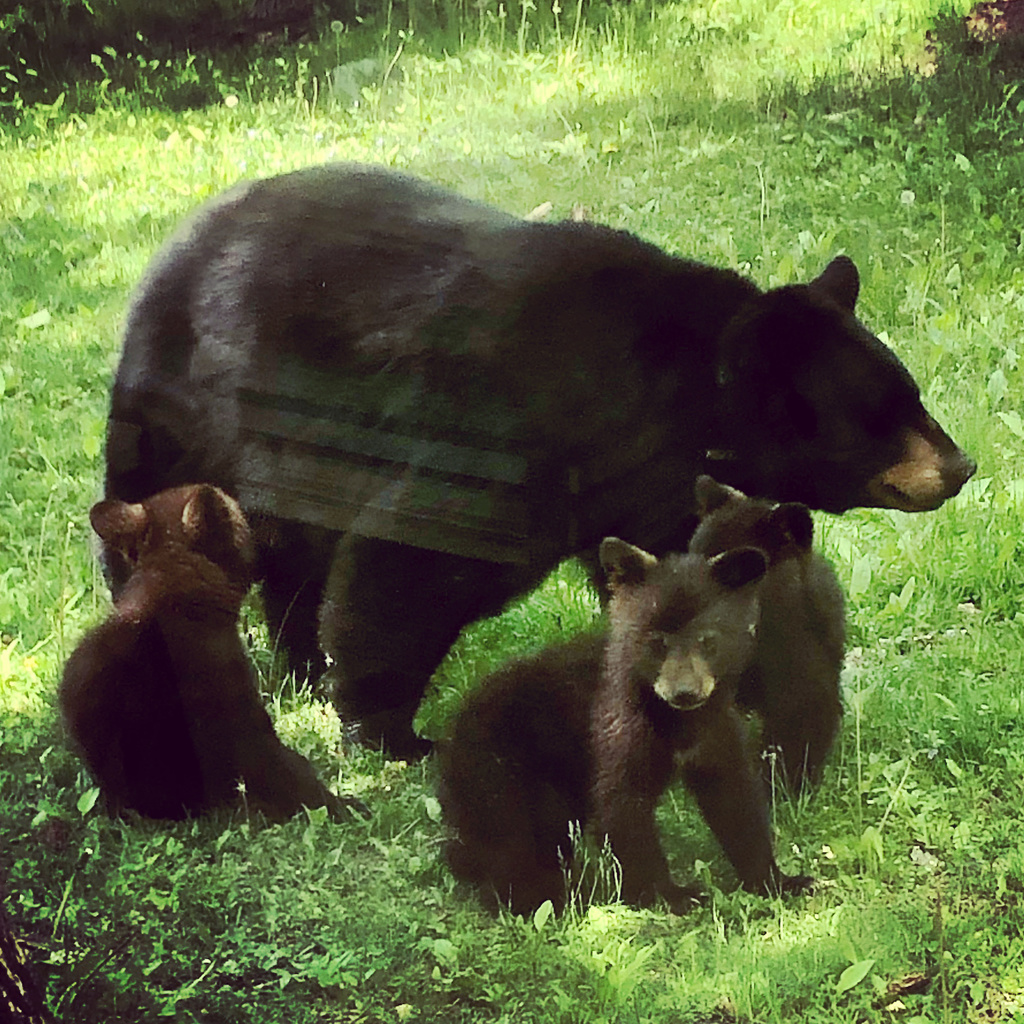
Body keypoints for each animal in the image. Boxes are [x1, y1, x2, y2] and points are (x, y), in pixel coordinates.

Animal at [101, 162, 975, 758]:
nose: (961, 466)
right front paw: (393, 732)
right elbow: (410, 560)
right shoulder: (507, 431)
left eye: (912, 393)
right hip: (185, 406)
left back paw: (300, 668)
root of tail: (178, 238)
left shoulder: (649, 489)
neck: (662, 402)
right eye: (880, 416)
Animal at [437, 537, 813, 915]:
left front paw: (782, 881)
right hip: (500, 774)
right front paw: (672, 894)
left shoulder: (714, 732)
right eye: (657, 641)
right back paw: (544, 897)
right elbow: (623, 807)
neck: (676, 720)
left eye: (708, 639)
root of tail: (452, 733)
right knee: (513, 841)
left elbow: (735, 801)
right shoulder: (616, 728)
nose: (685, 692)